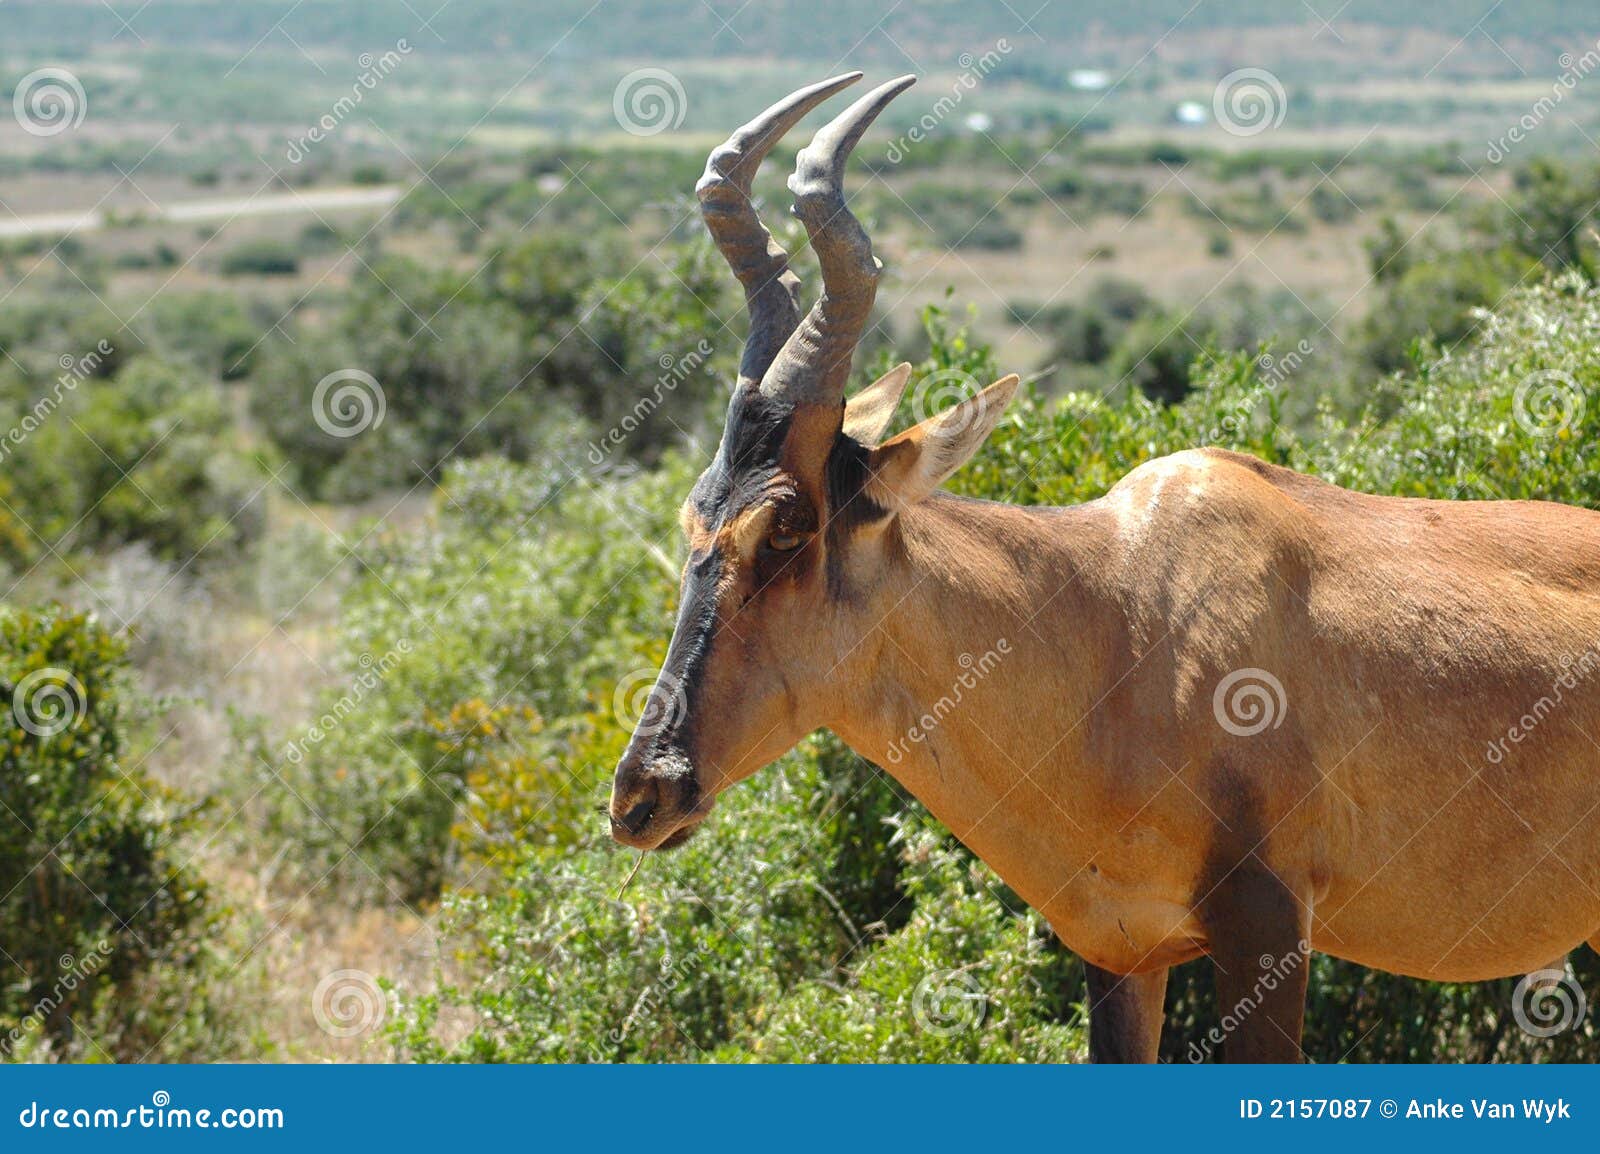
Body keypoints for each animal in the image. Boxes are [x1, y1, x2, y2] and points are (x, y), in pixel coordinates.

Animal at [607, 73, 1600, 1061]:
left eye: (787, 528)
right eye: (697, 513)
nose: (640, 794)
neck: (1124, 613)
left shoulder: (1269, 930)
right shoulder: (1119, 950)